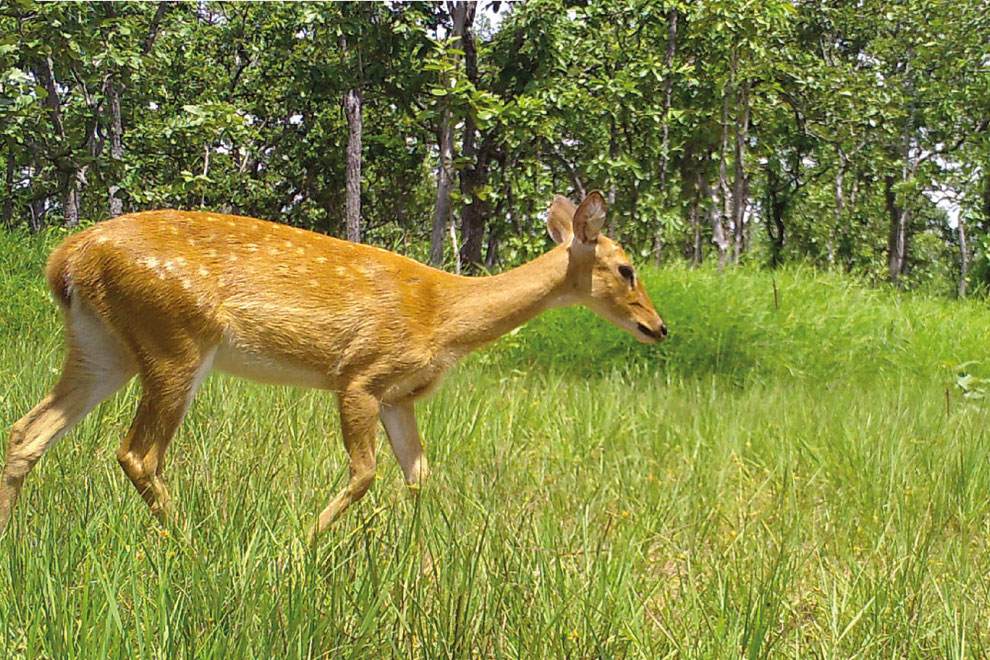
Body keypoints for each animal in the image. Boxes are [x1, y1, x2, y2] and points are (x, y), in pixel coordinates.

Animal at [0, 191, 666, 541]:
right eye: (627, 268)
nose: (659, 328)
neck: (447, 315)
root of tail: (65, 259)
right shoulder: (361, 375)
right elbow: (366, 473)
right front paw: (307, 544)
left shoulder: (400, 395)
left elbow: (419, 477)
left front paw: (421, 561)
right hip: (175, 338)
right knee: (136, 453)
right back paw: (194, 543)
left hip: (101, 345)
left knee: (28, 430)